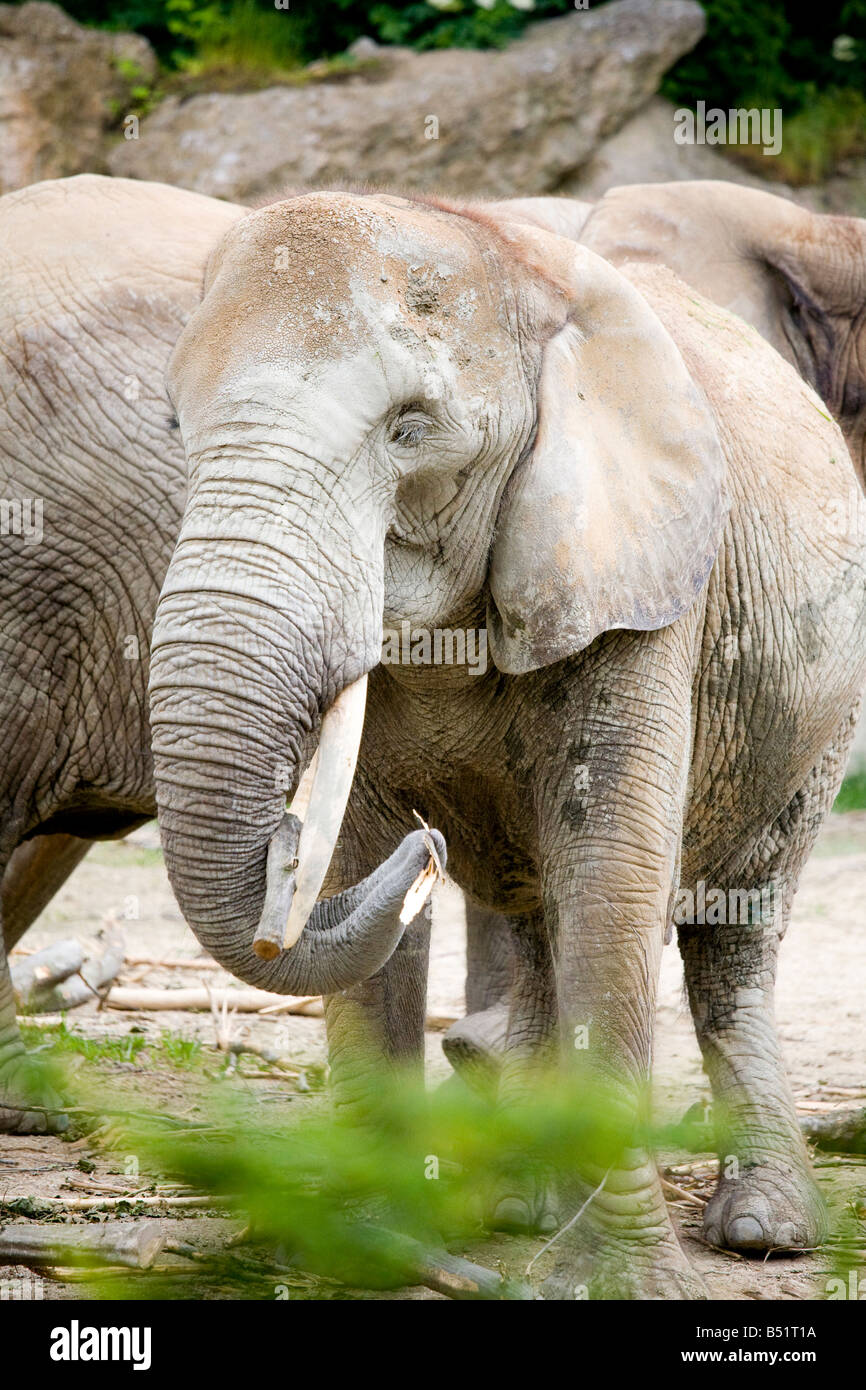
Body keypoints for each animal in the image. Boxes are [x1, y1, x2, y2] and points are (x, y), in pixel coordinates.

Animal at [146, 186, 866, 1298]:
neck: (502, 257)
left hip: (816, 713)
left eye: (409, 430)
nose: (431, 847)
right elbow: (356, 858)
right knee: (536, 918)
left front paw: (615, 1284)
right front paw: (369, 1251)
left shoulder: (643, 580)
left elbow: (612, 872)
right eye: (178, 424)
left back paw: (762, 1229)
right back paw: (523, 1204)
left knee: (732, 931)